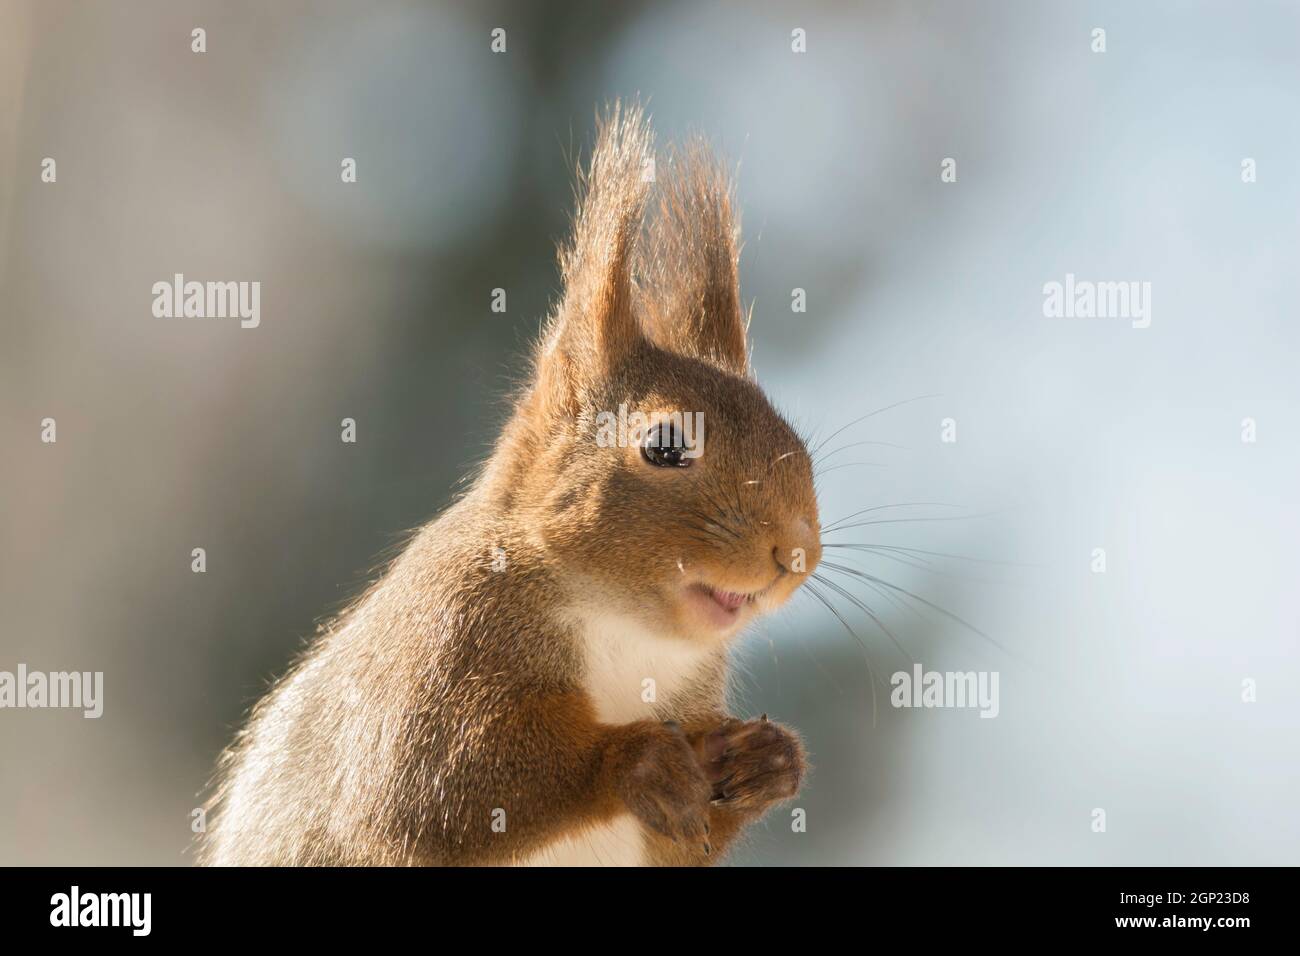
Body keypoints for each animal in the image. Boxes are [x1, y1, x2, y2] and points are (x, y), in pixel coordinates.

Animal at [198, 103, 823, 866]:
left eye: (796, 437)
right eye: (666, 446)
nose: (797, 551)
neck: (618, 624)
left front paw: (769, 761)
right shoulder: (436, 651)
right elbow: (437, 792)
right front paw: (638, 761)